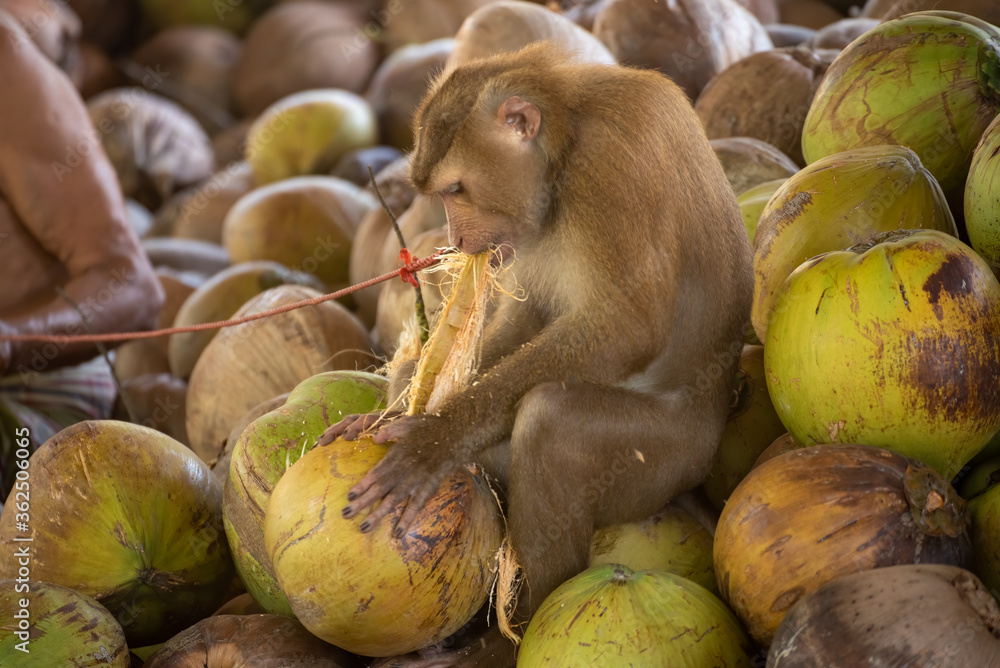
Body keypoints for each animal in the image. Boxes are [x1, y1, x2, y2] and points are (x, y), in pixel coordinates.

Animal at [319, 40, 753, 666]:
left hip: (671, 463)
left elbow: (628, 325)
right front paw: (397, 417)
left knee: (553, 425)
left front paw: (435, 440)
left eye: (454, 191)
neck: (565, 148)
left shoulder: (610, 167)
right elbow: (533, 317)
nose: (455, 238)